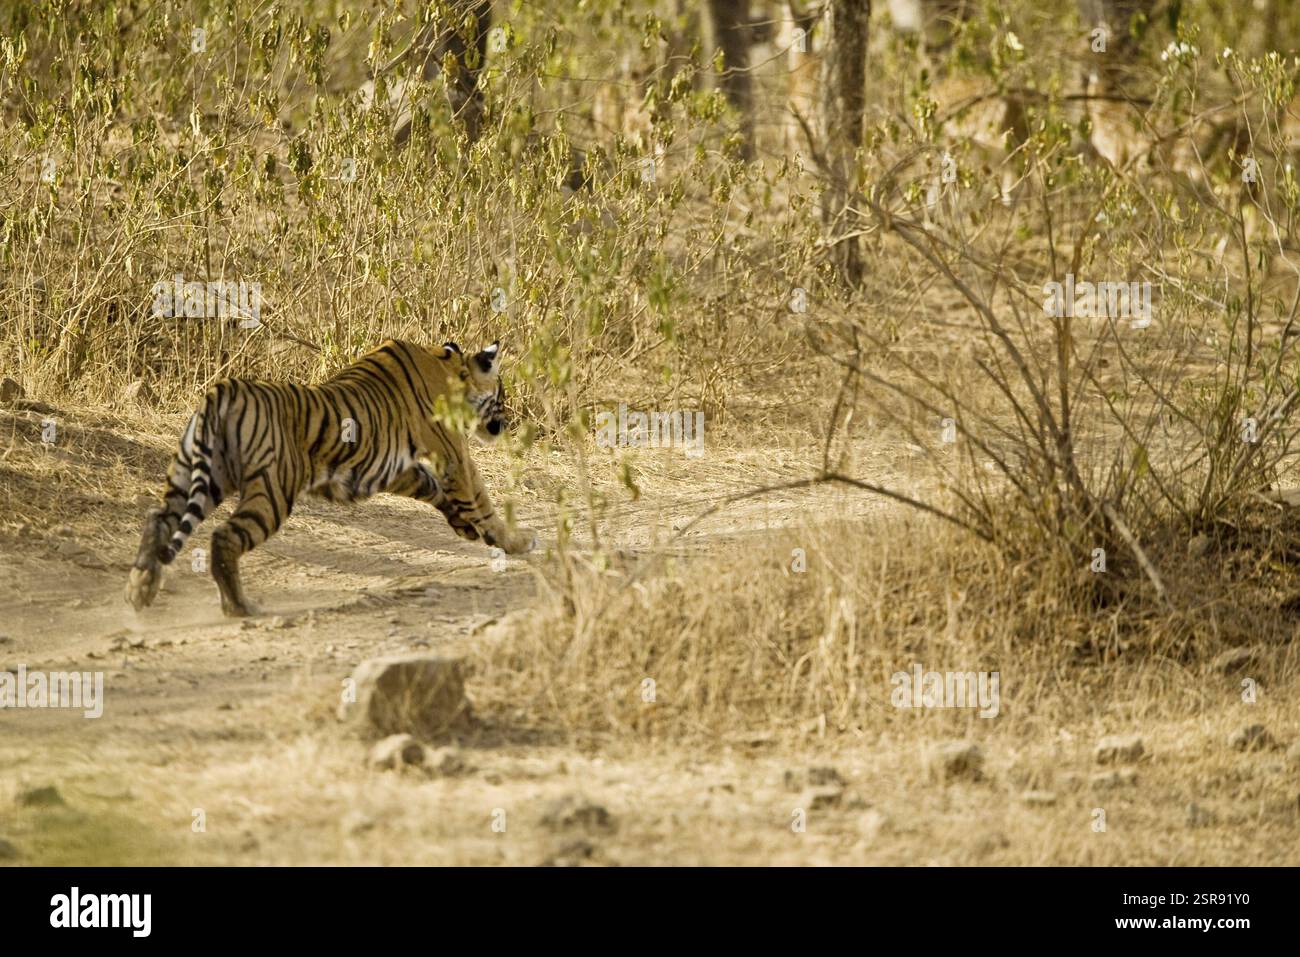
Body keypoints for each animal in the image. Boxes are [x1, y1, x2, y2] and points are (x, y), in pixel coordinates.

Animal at [124, 339, 536, 617]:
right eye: (502, 394)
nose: (508, 421)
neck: (448, 364)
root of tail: (223, 388)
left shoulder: (399, 470)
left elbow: (434, 491)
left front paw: (467, 529)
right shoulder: (454, 455)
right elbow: (481, 499)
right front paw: (516, 541)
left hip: (195, 475)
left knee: (158, 519)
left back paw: (139, 590)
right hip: (271, 490)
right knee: (225, 537)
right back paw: (239, 607)